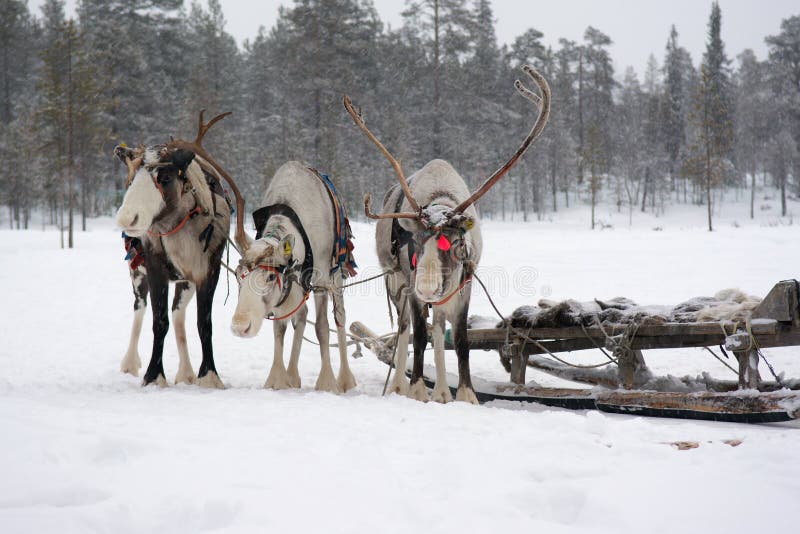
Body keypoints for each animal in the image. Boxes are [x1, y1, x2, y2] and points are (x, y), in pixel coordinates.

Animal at [114, 111, 247, 388]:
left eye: (164, 177)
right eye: (130, 179)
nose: (126, 218)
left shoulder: (208, 270)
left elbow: (203, 323)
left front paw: (209, 375)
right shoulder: (155, 268)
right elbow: (158, 321)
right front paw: (154, 375)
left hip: (185, 282)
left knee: (178, 315)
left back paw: (186, 371)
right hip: (137, 272)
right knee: (139, 308)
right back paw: (130, 362)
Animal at [230, 161, 359, 394]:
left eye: (271, 277)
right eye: (238, 275)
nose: (240, 327)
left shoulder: (321, 280)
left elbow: (322, 327)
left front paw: (327, 382)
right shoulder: (288, 290)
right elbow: (279, 328)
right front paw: (278, 379)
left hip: (336, 275)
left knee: (340, 318)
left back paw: (345, 378)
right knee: (301, 315)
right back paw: (292, 375)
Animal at [343, 65, 550, 404]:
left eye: (453, 243)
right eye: (414, 242)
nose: (427, 288)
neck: (440, 202)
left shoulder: (464, 283)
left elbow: (461, 339)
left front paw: (466, 393)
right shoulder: (411, 282)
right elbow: (418, 335)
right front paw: (415, 389)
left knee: (440, 328)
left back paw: (441, 391)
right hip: (395, 279)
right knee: (404, 329)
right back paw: (399, 385)